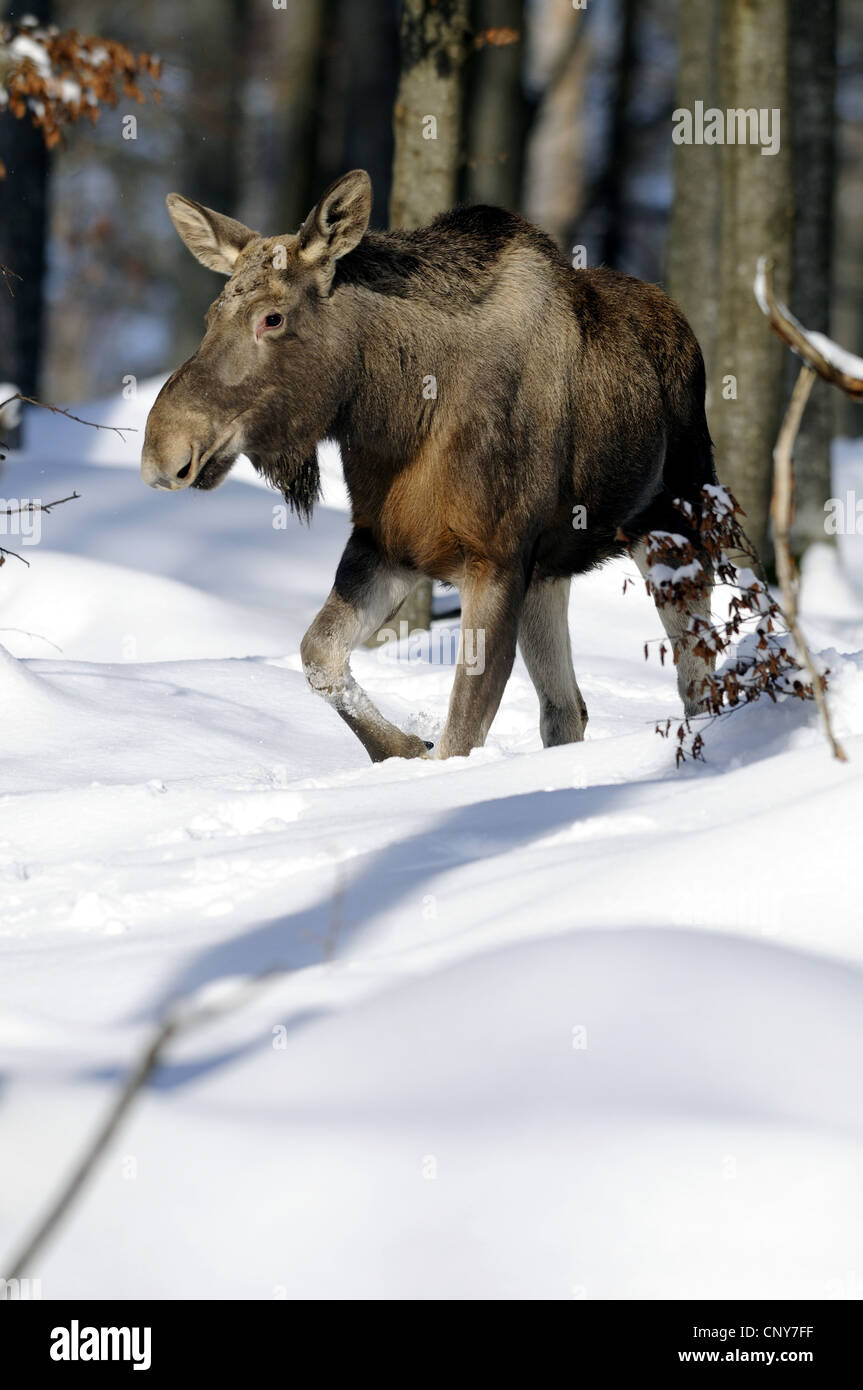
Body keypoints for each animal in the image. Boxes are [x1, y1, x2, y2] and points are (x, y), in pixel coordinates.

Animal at [142, 170, 717, 762]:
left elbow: (460, 734)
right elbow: (319, 656)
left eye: (272, 317)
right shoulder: (388, 544)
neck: (396, 412)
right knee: (566, 710)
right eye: (211, 316)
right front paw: (403, 747)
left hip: (675, 520)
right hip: (548, 571)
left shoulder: (494, 560)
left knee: (697, 680)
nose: (164, 452)